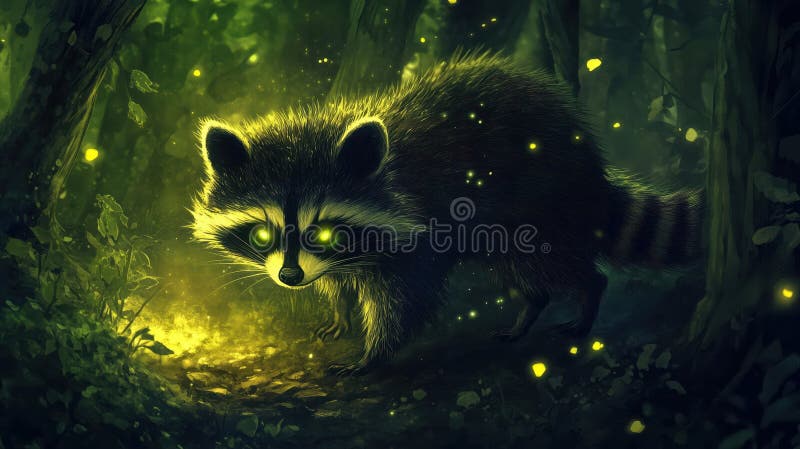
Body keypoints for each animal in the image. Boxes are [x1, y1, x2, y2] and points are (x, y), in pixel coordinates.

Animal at [191, 52, 702, 375]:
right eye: (262, 235)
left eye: (323, 233)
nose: (291, 278)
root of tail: (590, 163)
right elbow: (339, 284)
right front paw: (340, 309)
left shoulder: (420, 231)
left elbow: (404, 301)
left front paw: (374, 353)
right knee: (523, 271)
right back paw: (529, 310)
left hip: (539, 204)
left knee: (553, 262)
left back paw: (587, 295)